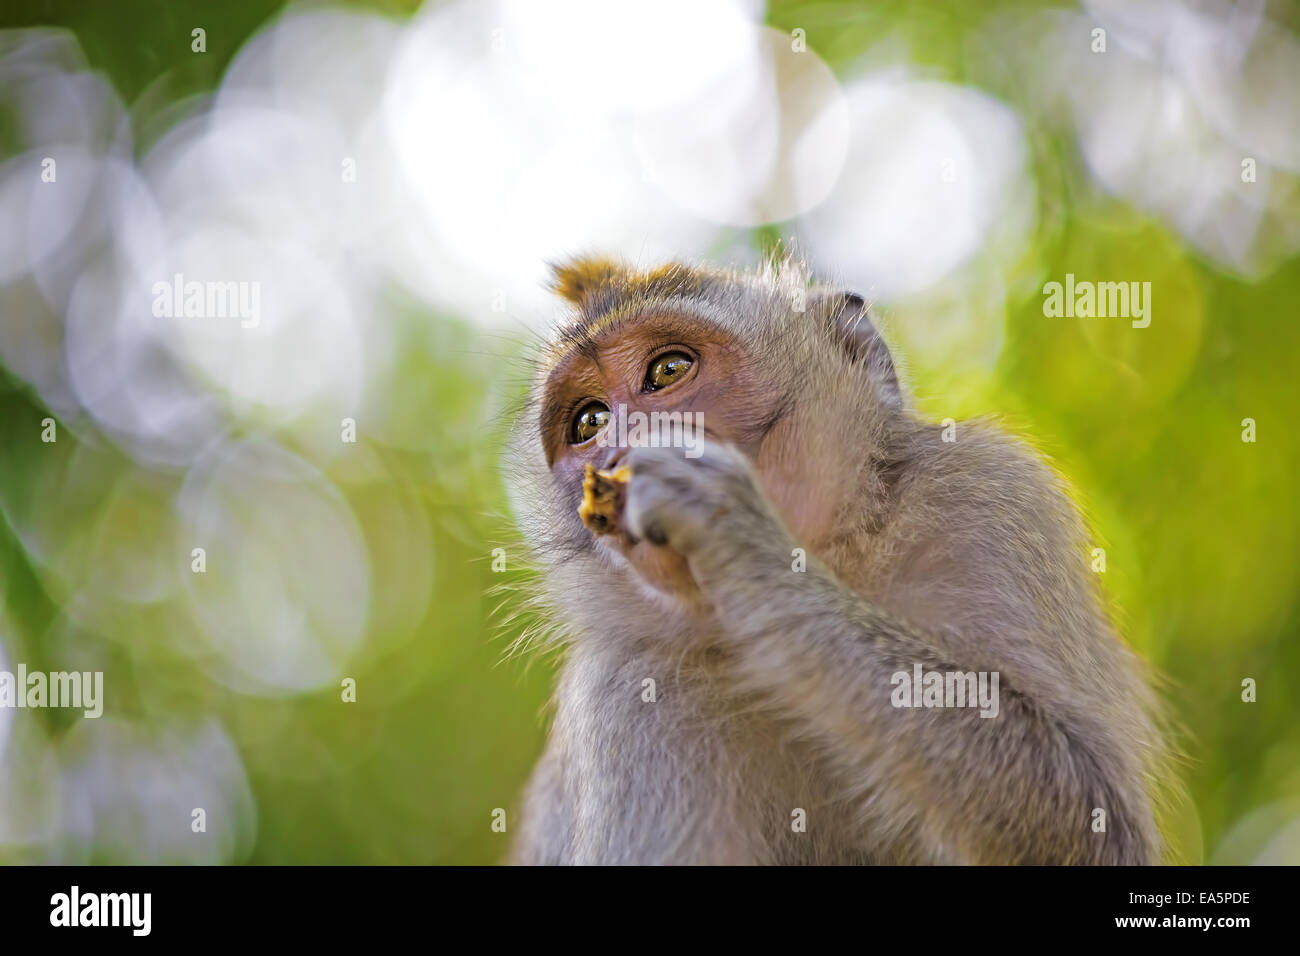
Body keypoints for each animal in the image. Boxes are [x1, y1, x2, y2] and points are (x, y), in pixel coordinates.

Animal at [503, 254, 1168, 865]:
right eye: (590, 421)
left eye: (667, 370)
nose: (617, 453)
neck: (842, 558)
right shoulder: (627, 686)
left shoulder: (991, 493)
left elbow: (1090, 817)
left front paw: (739, 533)